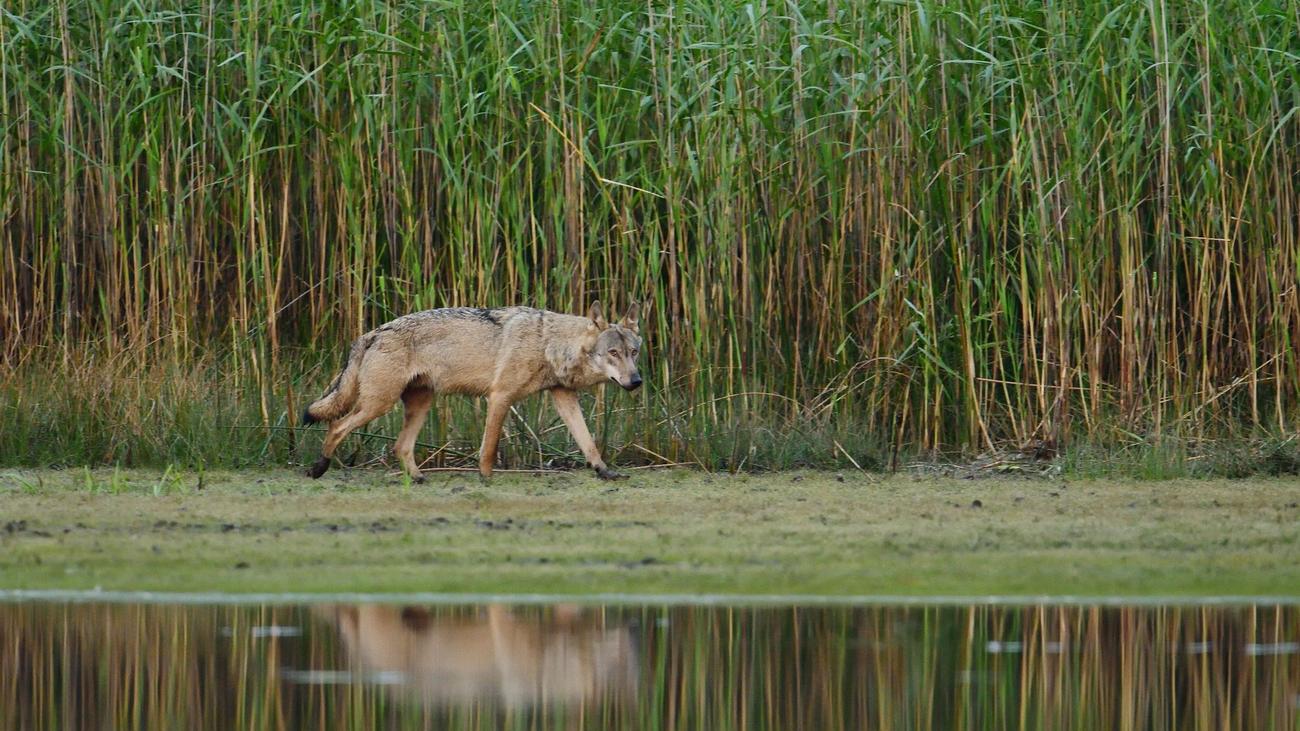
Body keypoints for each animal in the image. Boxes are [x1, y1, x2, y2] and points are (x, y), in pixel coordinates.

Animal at [301, 301, 644, 482]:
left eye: (634, 352)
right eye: (613, 353)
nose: (637, 381)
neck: (549, 343)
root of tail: (373, 332)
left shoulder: (564, 397)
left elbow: (588, 443)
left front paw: (604, 471)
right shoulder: (500, 397)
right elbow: (489, 448)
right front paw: (486, 478)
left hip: (419, 404)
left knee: (400, 446)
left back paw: (418, 479)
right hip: (378, 405)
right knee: (336, 426)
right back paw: (319, 468)